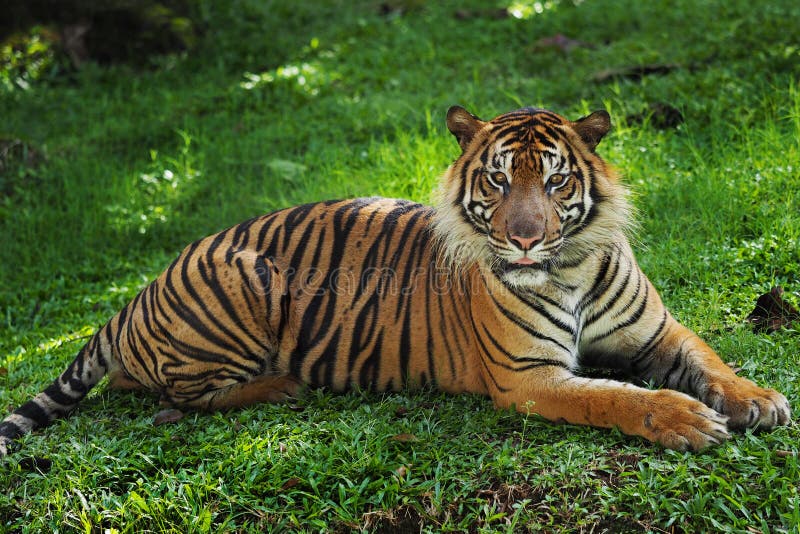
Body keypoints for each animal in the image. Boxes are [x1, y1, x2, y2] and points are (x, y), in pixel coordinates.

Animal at [0, 105, 791, 456]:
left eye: (555, 180)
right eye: (497, 181)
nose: (524, 237)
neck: (568, 265)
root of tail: (132, 296)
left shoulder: (658, 332)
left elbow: (711, 359)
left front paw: (759, 400)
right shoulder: (530, 378)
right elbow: (617, 397)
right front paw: (686, 420)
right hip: (246, 273)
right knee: (175, 392)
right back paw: (280, 387)